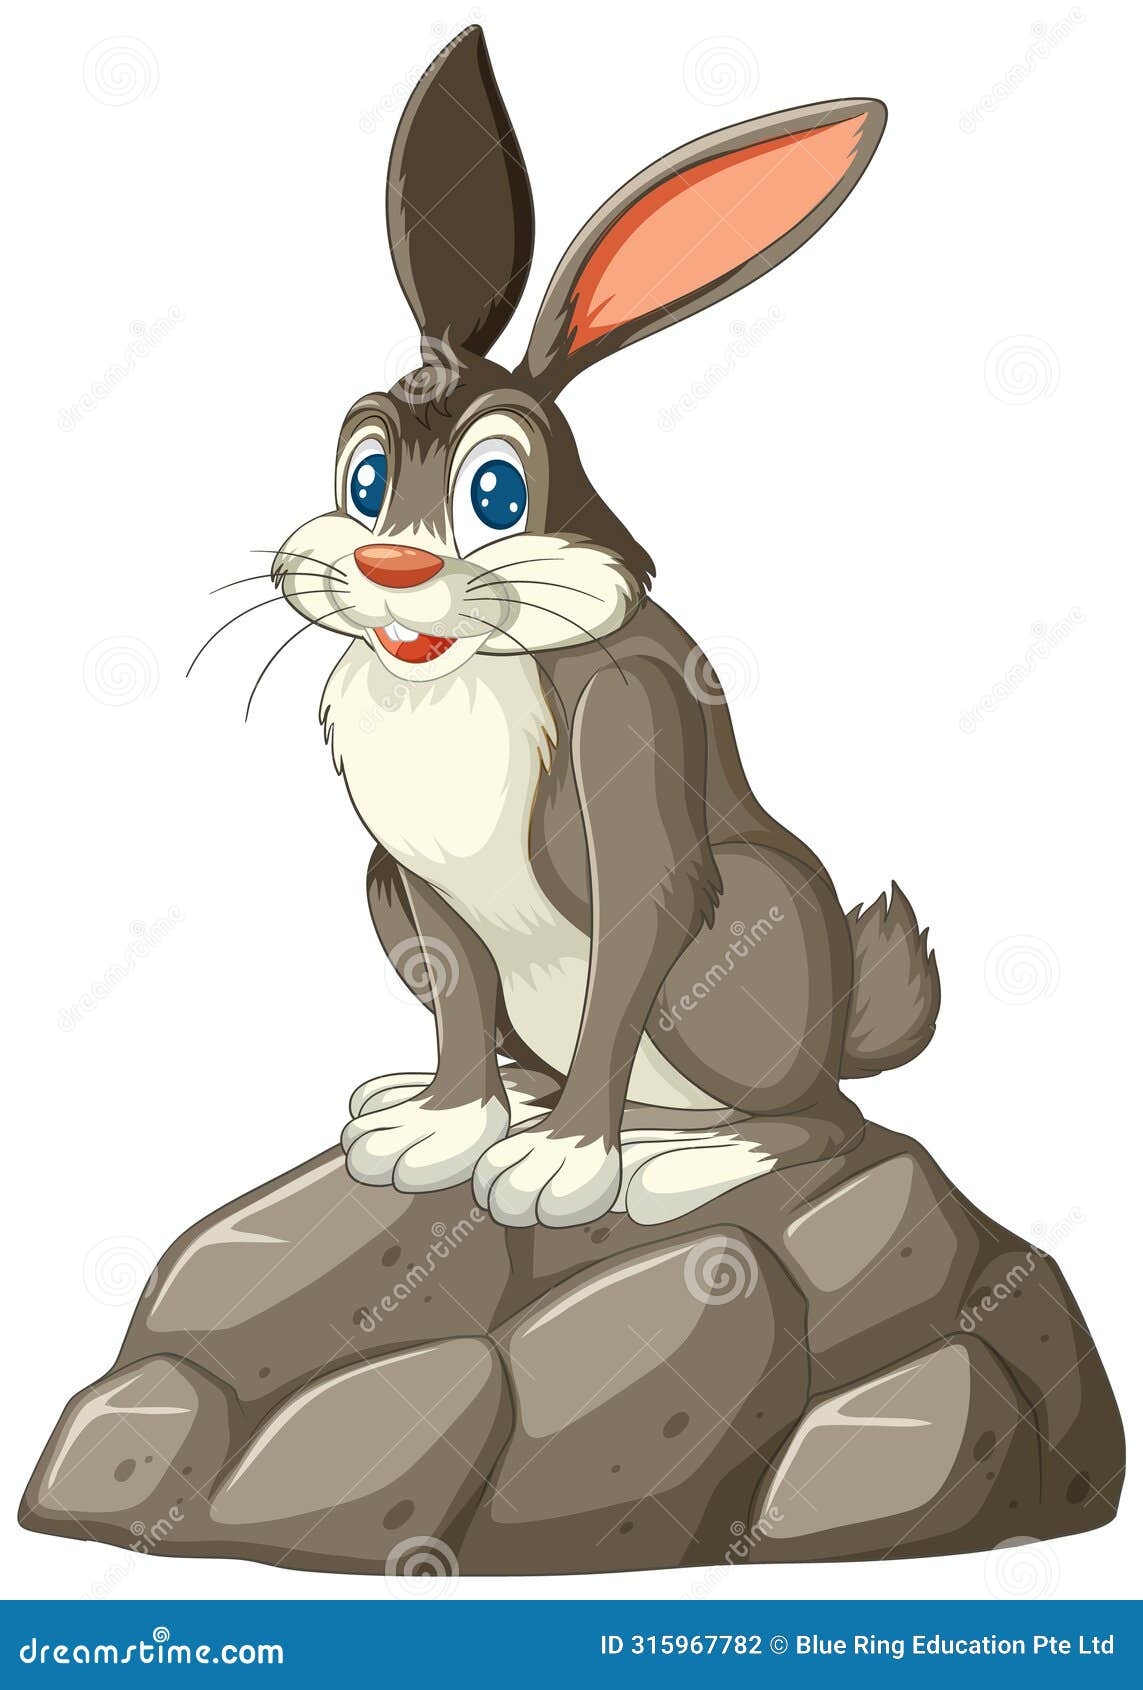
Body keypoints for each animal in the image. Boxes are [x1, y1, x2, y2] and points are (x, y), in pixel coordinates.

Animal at [266, 26, 939, 1228]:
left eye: (496, 492)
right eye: (364, 478)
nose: (392, 566)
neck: (468, 664)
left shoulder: (629, 736)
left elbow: (630, 940)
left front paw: (561, 1167)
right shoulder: (413, 875)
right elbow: (458, 996)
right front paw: (439, 1127)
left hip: (751, 940)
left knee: (820, 1120)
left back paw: (675, 1161)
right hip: (380, 885)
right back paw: (461, 1098)